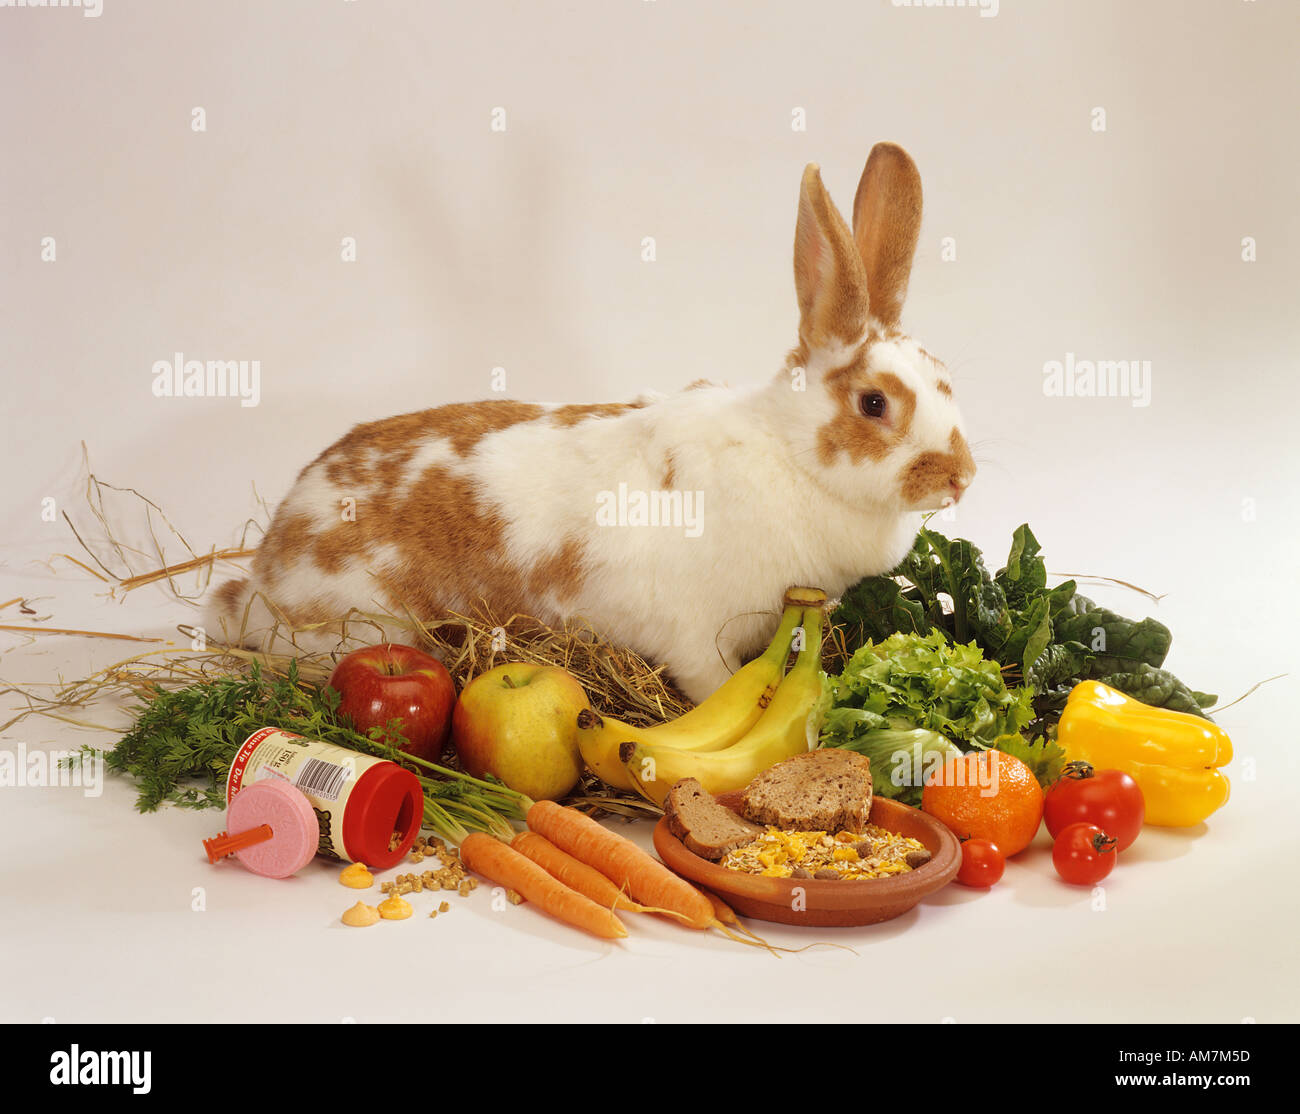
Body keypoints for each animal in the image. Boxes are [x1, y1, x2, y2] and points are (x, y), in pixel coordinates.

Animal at [205, 142, 975, 703]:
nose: (961, 478)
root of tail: (269, 569)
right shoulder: (696, 634)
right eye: (874, 403)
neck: (791, 455)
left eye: (945, 377)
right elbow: (713, 685)